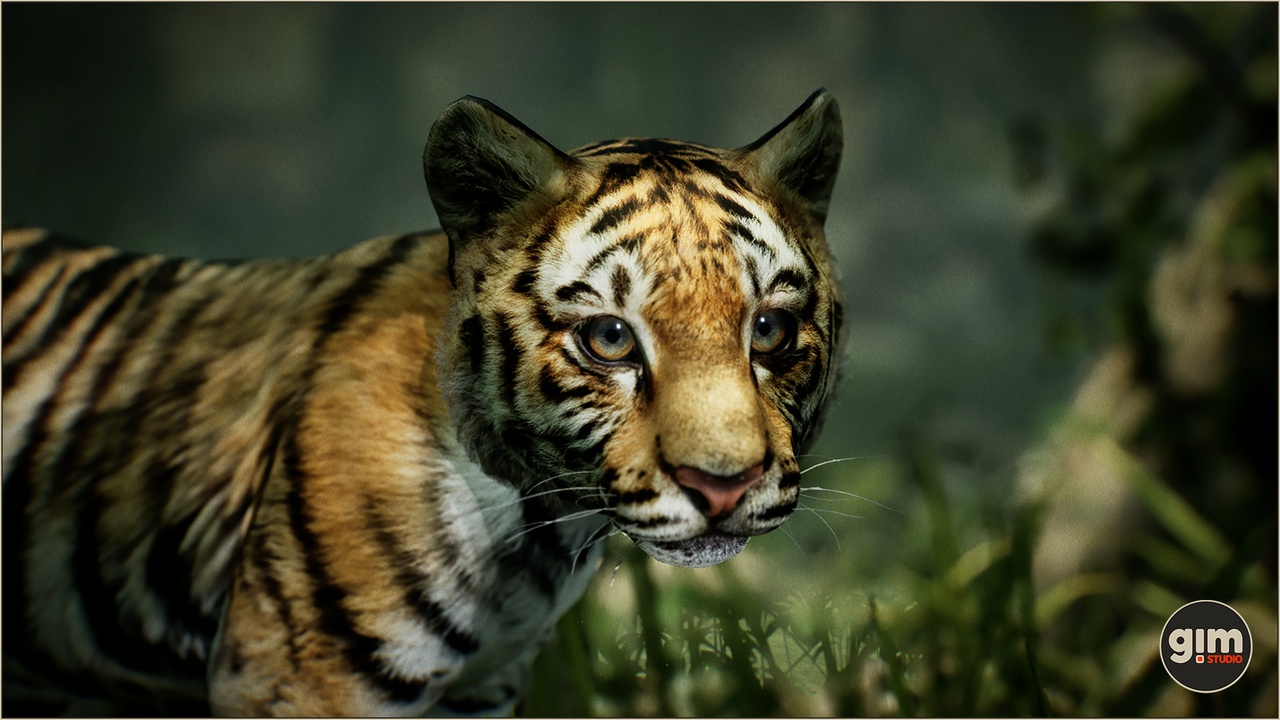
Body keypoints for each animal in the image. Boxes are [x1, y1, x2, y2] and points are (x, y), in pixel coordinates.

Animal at [2, 89, 844, 716]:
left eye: (768, 329)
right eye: (609, 339)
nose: (723, 486)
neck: (536, 536)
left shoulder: (482, 687)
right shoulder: (303, 680)